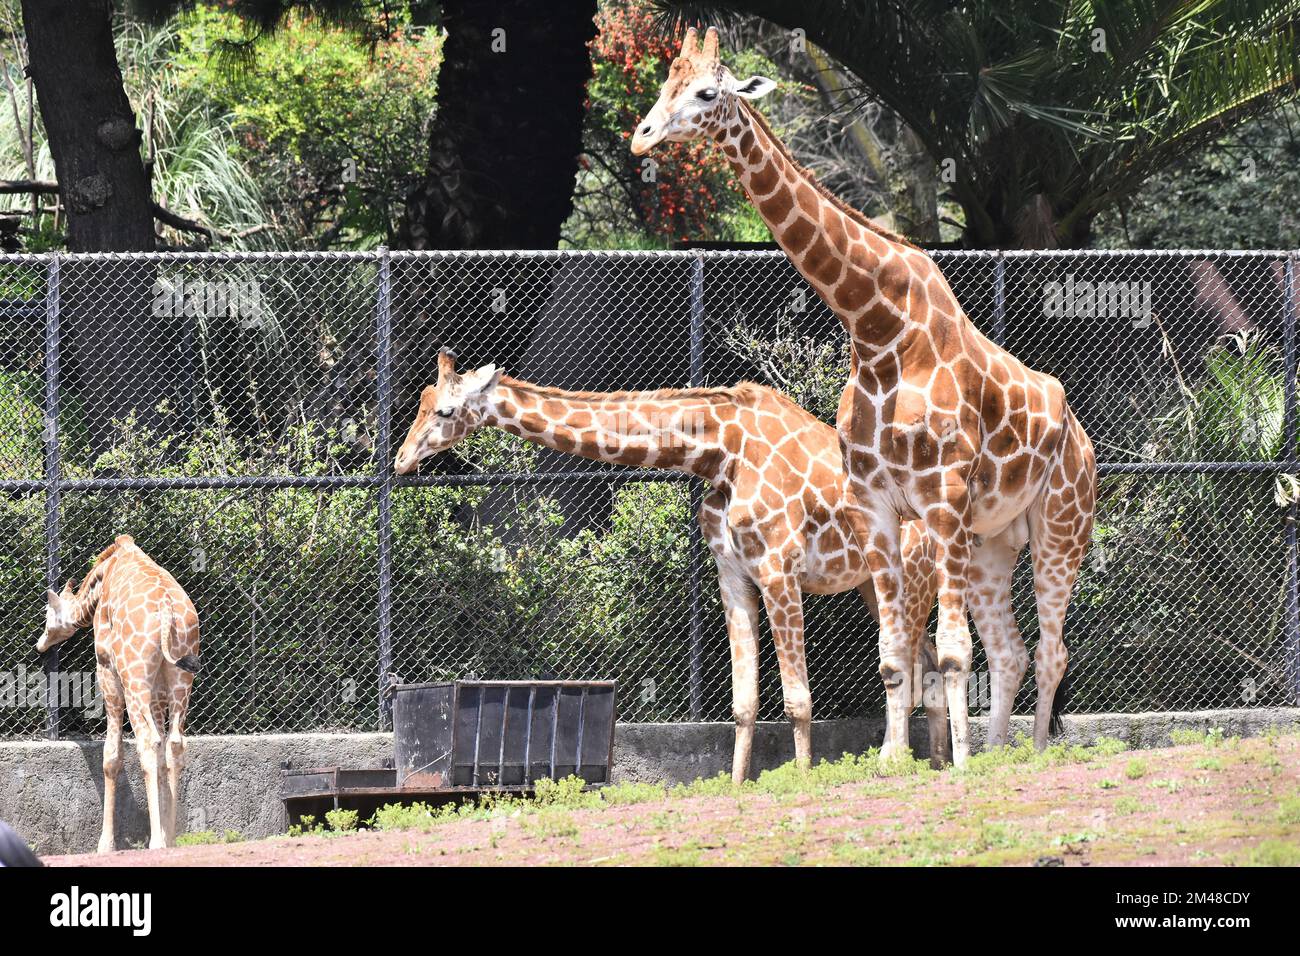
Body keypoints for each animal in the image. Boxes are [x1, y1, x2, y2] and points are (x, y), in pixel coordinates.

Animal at [35, 535, 200, 852]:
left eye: (48, 615)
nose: (40, 645)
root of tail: (168, 612)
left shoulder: (106, 669)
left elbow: (111, 755)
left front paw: (106, 844)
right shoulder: (159, 690)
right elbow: (162, 753)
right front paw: (164, 831)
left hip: (133, 677)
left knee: (147, 741)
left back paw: (156, 843)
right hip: (181, 679)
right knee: (174, 743)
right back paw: (171, 840)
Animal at [395, 351, 950, 781]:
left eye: (444, 410)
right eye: (421, 403)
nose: (401, 460)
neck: (719, 452)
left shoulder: (779, 568)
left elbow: (797, 698)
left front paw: (803, 779)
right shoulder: (733, 573)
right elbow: (743, 701)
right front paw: (737, 785)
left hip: (911, 576)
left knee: (911, 666)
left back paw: (902, 762)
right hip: (875, 586)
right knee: (927, 664)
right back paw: (941, 763)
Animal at [631, 28, 1096, 766]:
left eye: (705, 92)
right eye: (663, 86)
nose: (641, 136)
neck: (877, 330)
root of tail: (1078, 432)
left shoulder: (943, 499)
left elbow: (950, 654)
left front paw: (954, 764)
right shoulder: (877, 506)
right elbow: (893, 656)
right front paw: (893, 759)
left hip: (1060, 525)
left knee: (1051, 650)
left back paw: (1032, 751)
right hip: (994, 541)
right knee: (1013, 651)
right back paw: (999, 750)